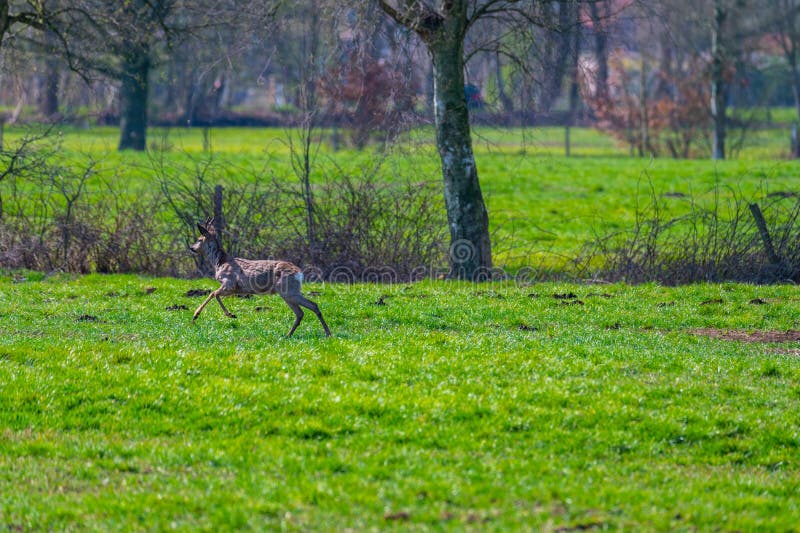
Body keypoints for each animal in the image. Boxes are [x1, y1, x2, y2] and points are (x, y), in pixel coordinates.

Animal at [188, 218, 331, 337]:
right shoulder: (235, 289)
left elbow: (213, 293)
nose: (191, 247)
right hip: (289, 292)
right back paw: (289, 334)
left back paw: (327, 333)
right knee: (301, 312)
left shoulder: (229, 283)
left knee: (312, 306)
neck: (220, 262)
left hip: (288, 290)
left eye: (199, 239)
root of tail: (300, 273)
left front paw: (200, 315)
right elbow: (214, 294)